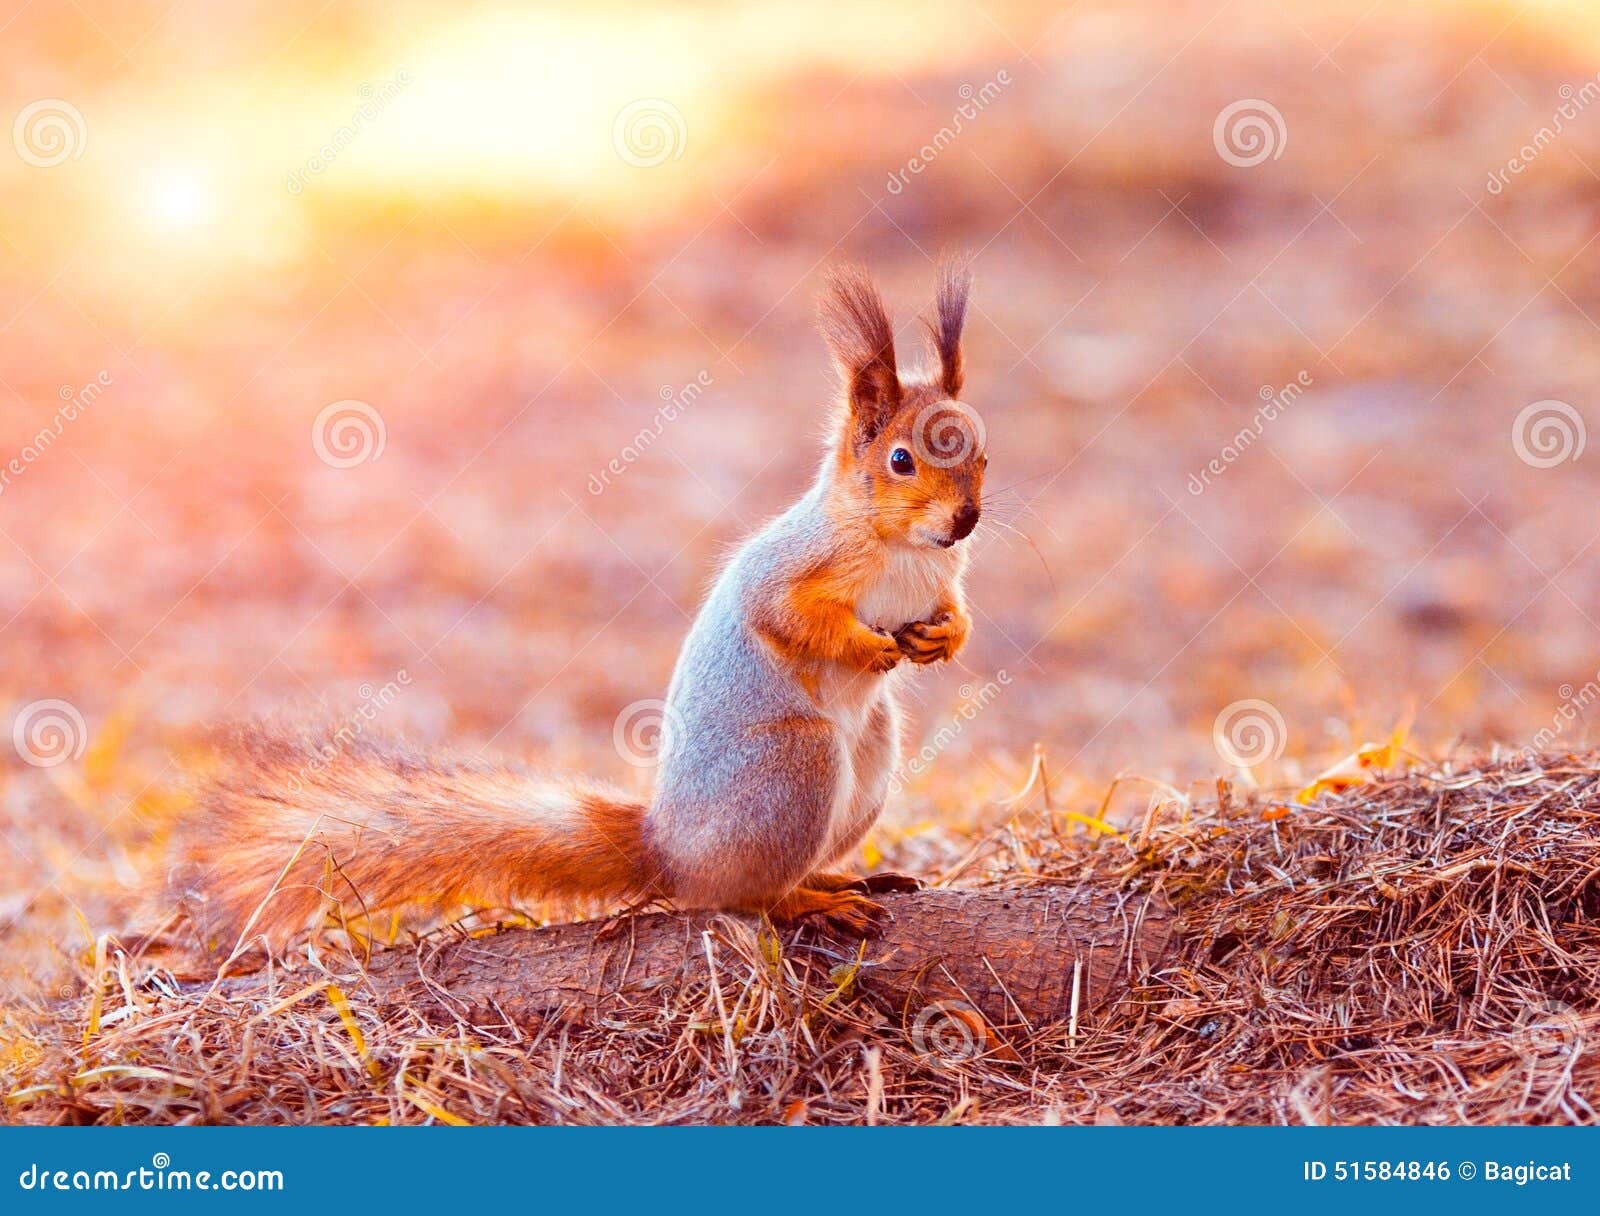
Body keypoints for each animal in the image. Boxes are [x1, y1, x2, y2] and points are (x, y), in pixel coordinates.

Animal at [176, 259, 984, 948]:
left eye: (981, 450)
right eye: (901, 460)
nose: (966, 521)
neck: (906, 548)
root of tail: (670, 852)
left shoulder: (943, 579)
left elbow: (956, 612)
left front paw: (943, 640)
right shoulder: (793, 567)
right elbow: (783, 617)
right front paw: (866, 645)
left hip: (871, 753)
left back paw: (844, 878)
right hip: (794, 764)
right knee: (743, 895)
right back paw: (809, 901)